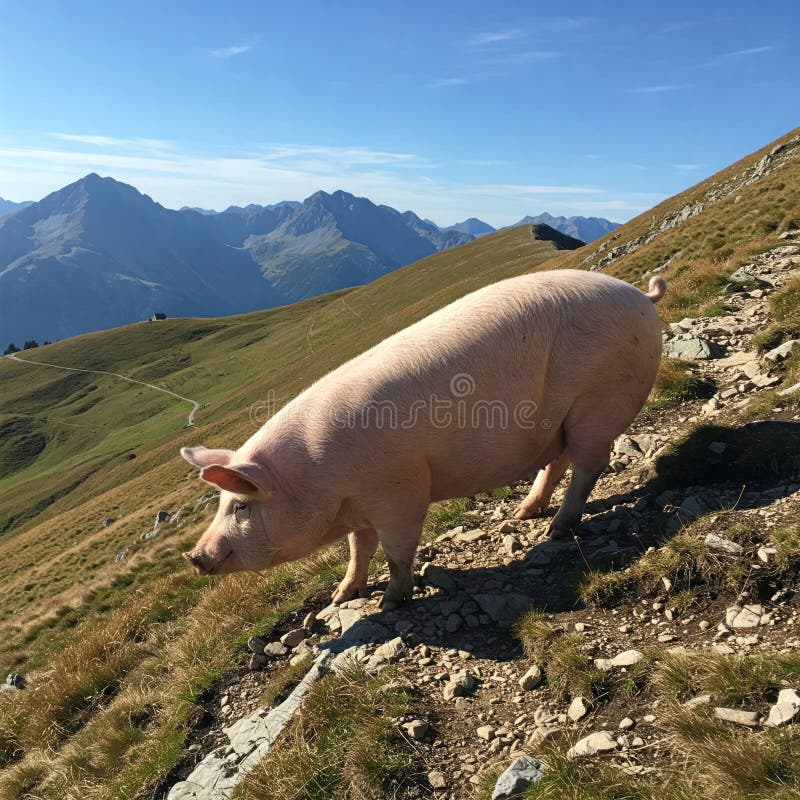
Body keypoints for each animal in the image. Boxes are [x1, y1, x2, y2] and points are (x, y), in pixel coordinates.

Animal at [182, 269, 665, 611]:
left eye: (240, 506)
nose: (194, 556)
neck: (317, 478)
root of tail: (642, 296)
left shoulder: (400, 489)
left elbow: (396, 550)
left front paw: (390, 602)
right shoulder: (358, 506)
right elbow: (358, 549)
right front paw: (341, 596)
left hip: (598, 401)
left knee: (588, 466)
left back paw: (556, 528)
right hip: (559, 422)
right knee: (556, 462)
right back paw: (525, 514)